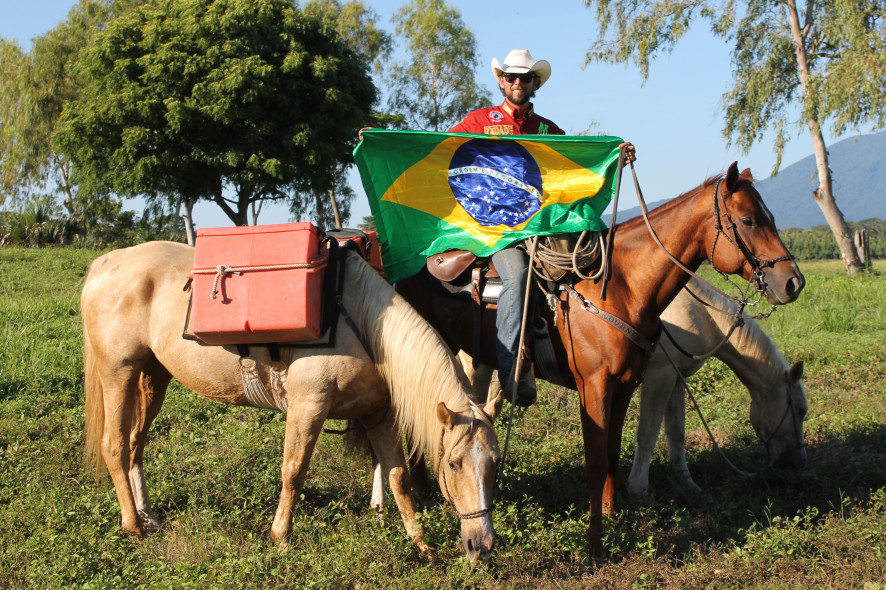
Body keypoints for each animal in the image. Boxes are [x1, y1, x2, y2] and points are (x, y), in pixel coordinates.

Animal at [81, 241, 503, 562]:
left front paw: (421, 544)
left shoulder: (378, 415)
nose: (481, 544)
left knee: (135, 444)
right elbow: (294, 471)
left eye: (495, 463)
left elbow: (398, 477)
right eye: (453, 463)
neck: (364, 324)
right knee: (115, 446)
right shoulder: (308, 405)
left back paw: (148, 515)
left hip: (153, 376)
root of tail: (108, 261)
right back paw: (133, 525)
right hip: (118, 374)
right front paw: (280, 535)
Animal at [626, 276, 808, 502]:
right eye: (801, 411)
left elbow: (676, 432)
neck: (699, 313)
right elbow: (648, 433)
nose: (800, 463)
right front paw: (638, 489)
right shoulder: (660, 374)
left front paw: (686, 482)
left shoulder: (677, 378)